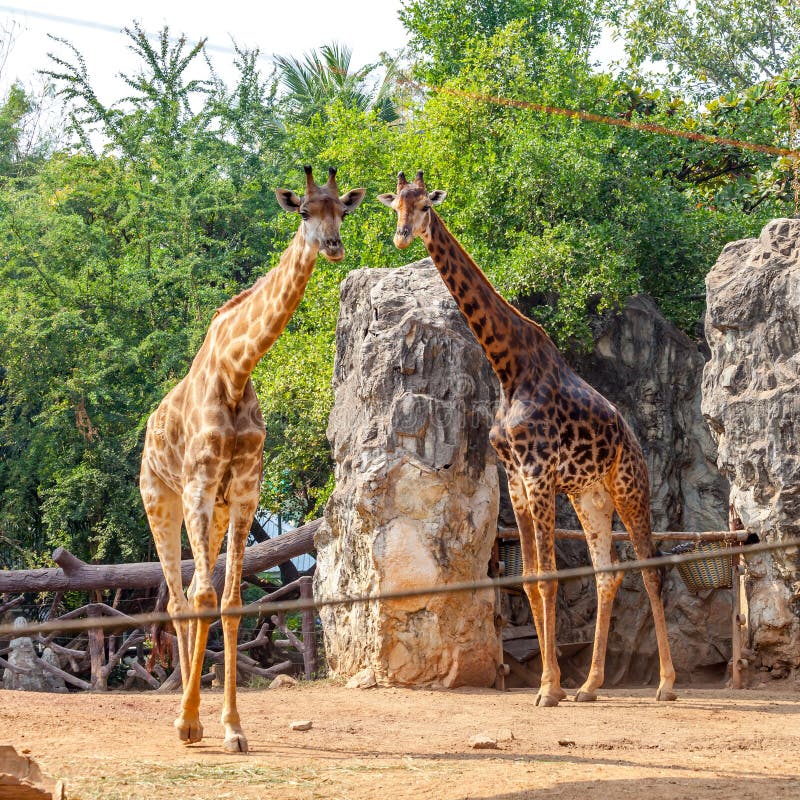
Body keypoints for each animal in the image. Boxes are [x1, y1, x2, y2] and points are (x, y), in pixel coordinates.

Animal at [140, 166, 365, 752]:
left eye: (342, 209)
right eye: (305, 211)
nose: (333, 246)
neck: (237, 369)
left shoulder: (243, 492)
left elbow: (232, 601)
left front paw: (231, 727)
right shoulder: (198, 487)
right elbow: (201, 597)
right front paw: (191, 722)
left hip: (214, 512)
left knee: (191, 595)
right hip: (161, 500)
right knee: (178, 599)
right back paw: (182, 718)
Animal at [378, 170, 676, 706]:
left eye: (426, 206)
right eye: (396, 208)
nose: (402, 237)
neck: (507, 366)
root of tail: (633, 438)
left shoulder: (538, 475)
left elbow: (551, 581)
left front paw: (549, 688)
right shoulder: (516, 480)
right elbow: (533, 580)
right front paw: (550, 684)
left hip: (628, 485)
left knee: (650, 566)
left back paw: (665, 683)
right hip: (589, 495)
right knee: (607, 571)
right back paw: (591, 686)